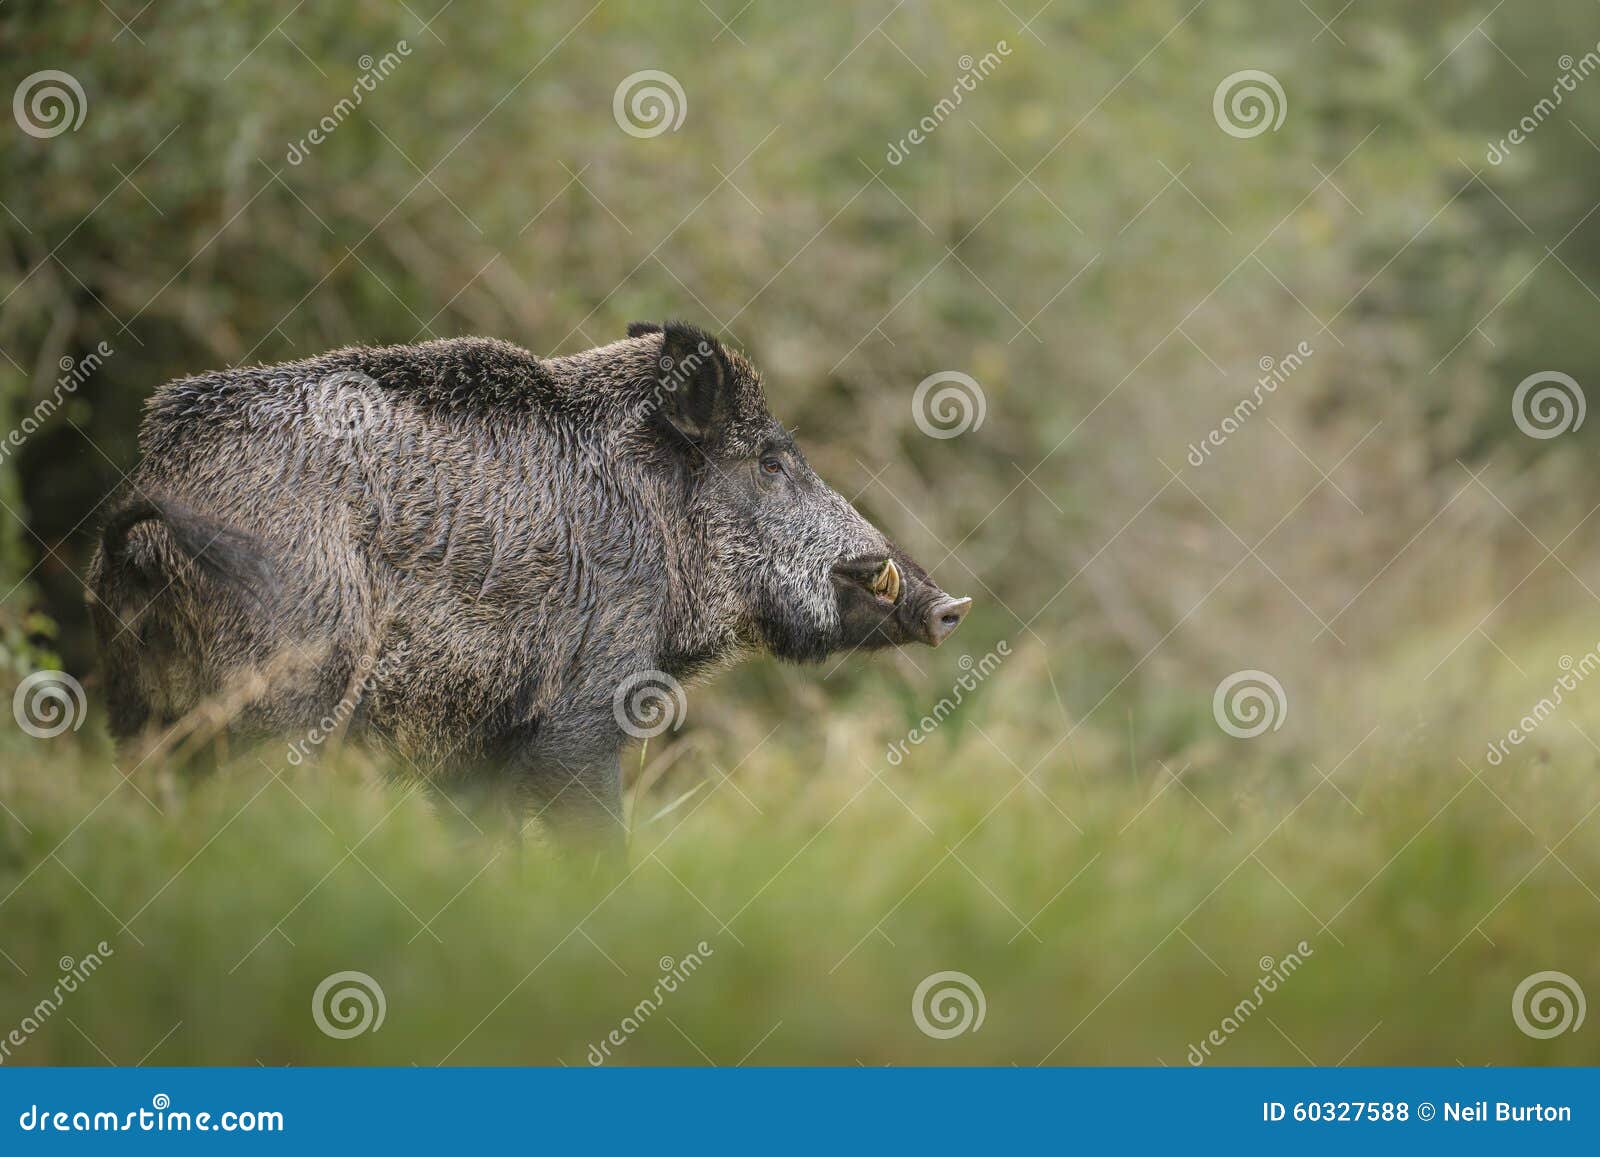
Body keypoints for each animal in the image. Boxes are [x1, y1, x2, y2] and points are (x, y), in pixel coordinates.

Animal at [87, 321, 971, 844]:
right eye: (772, 461)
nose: (948, 605)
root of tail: (152, 507)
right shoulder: (581, 703)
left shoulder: (479, 743)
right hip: (282, 686)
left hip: (138, 705)